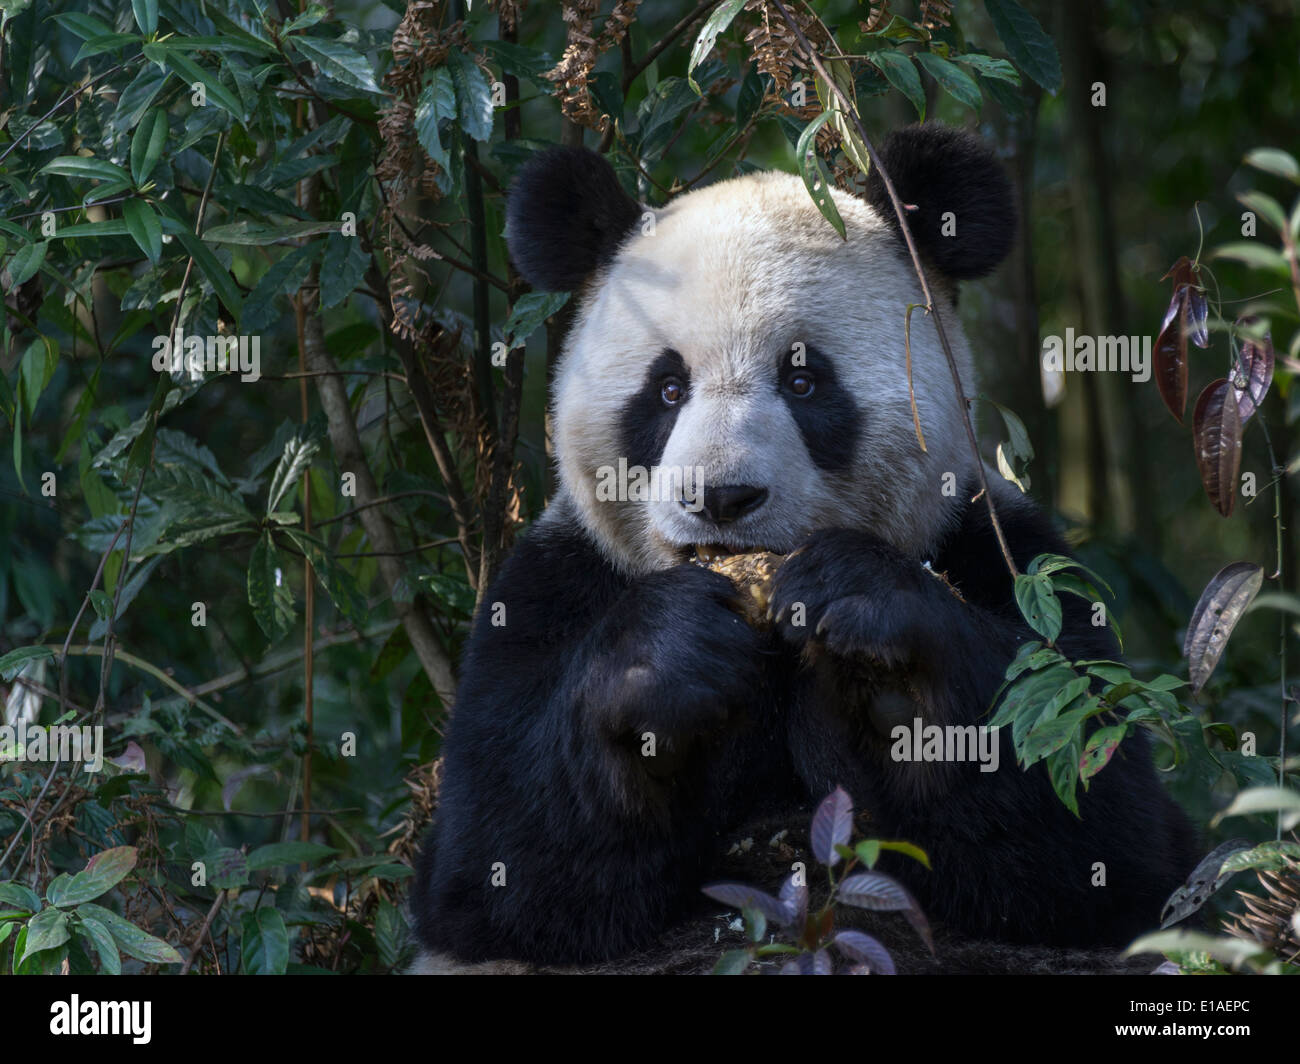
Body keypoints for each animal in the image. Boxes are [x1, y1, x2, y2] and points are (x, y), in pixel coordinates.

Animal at [409, 124, 1197, 969]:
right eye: (666, 390)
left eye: (804, 382)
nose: (721, 498)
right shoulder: (551, 586)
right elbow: (497, 863)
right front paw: (668, 655)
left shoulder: (1010, 561)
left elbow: (1105, 834)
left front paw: (879, 644)